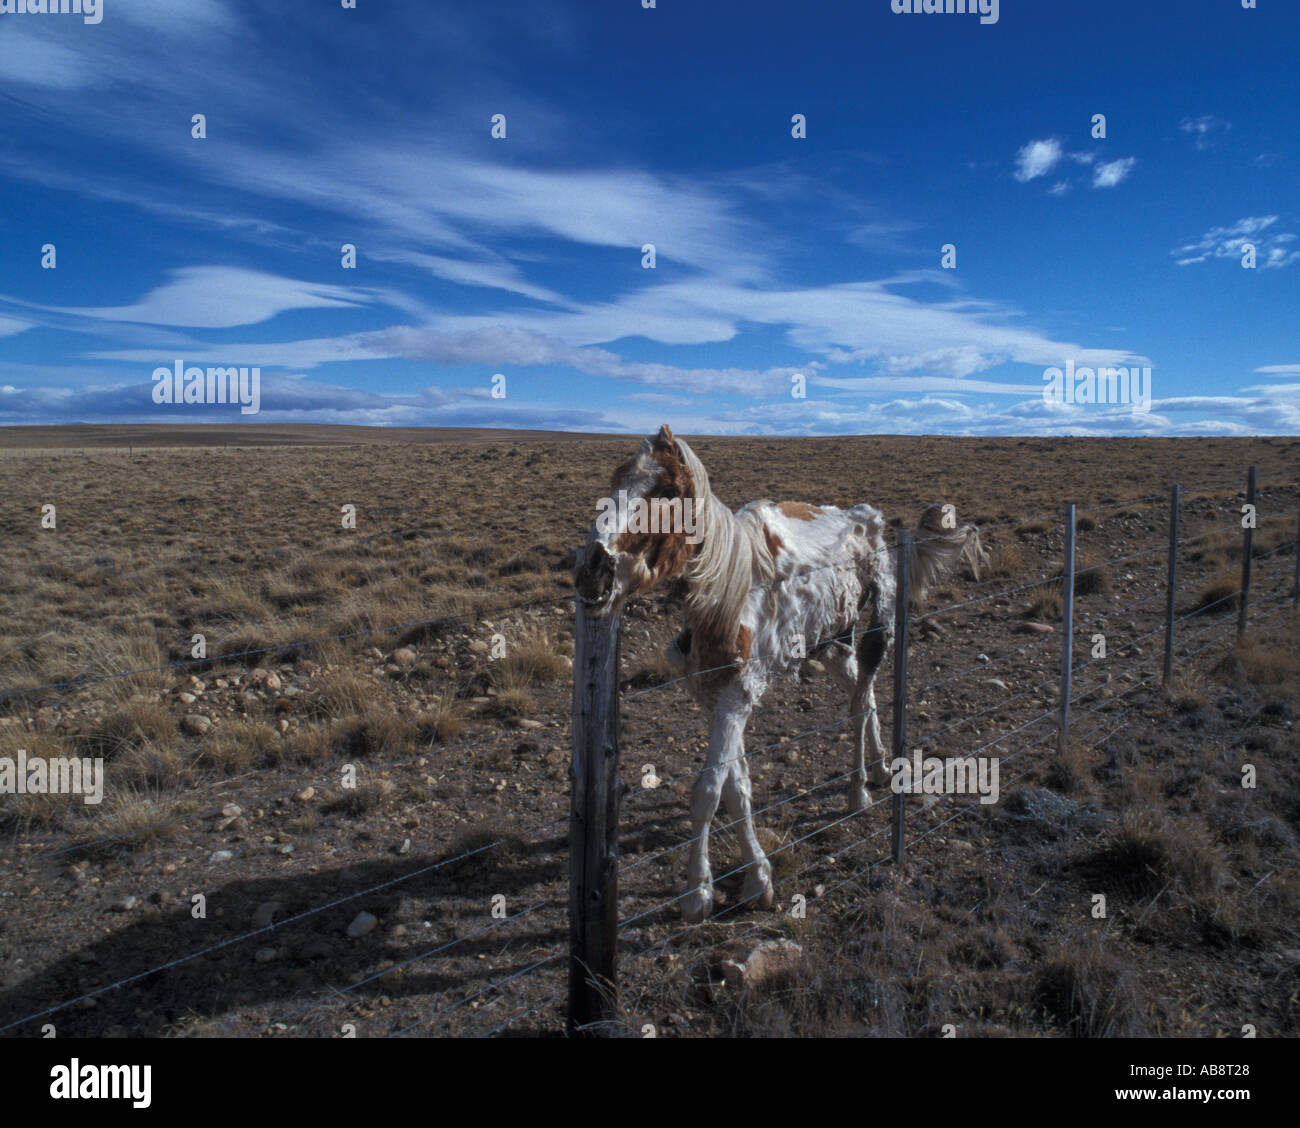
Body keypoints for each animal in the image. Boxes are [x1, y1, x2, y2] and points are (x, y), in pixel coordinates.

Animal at [574, 425, 986, 923]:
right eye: (615, 479)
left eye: (669, 492)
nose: (592, 570)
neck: (724, 593)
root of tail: (871, 516)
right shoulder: (716, 697)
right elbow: (738, 786)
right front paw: (758, 877)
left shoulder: (739, 695)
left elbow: (708, 791)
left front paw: (699, 892)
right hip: (832, 644)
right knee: (862, 695)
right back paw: (881, 764)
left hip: (880, 628)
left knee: (858, 702)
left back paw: (859, 792)